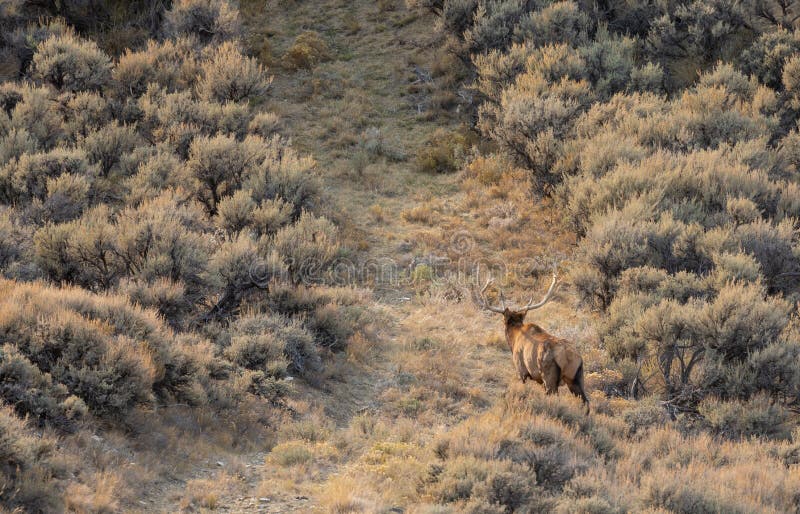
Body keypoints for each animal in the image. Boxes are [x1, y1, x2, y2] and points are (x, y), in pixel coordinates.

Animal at [474, 267, 589, 414]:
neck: (514, 339)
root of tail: (569, 356)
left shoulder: (521, 370)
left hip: (549, 377)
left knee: (555, 397)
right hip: (577, 377)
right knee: (586, 401)